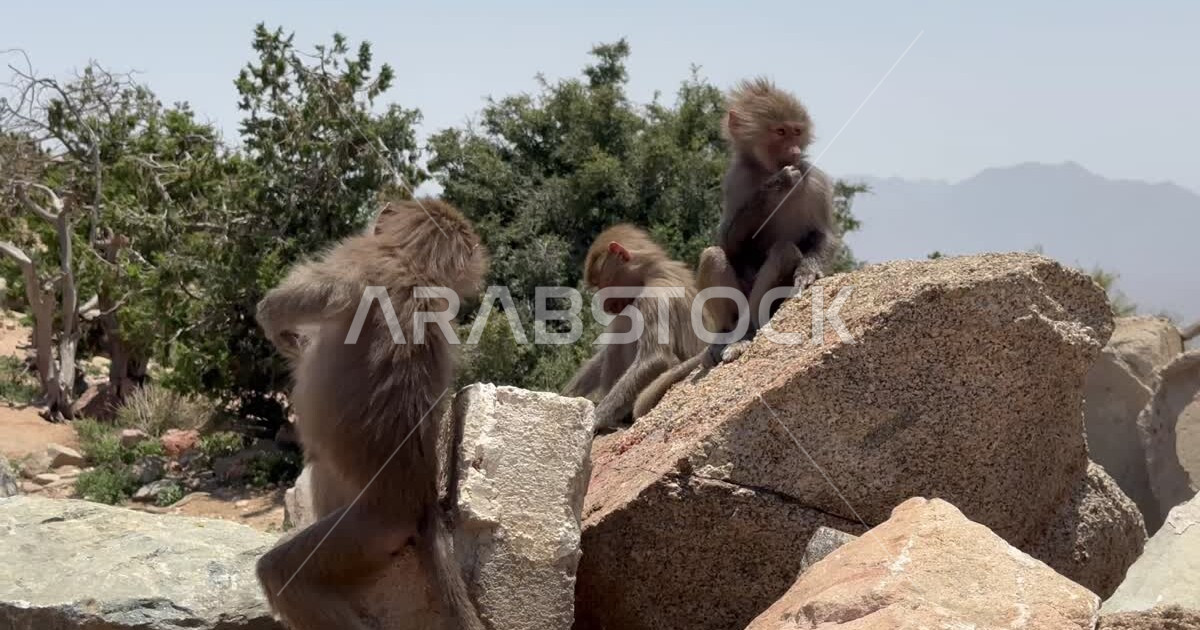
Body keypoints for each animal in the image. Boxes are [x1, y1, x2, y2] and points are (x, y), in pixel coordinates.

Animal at [254, 197, 489, 630]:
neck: (415, 271)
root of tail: (421, 504)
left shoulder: (358, 259)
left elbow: (285, 306)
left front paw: (277, 327)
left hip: (369, 532)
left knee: (282, 573)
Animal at [562, 224, 705, 431]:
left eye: (603, 284)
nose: (603, 304)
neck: (651, 271)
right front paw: (568, 396)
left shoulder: (652, 298)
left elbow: (655, 359)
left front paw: (595, 419)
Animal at [632, 78, 838, 419]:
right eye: (780, 132)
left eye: (796, 132)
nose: (795, 151)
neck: (763, 168)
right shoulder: (735, 179)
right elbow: (726, 243)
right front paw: (777, 184)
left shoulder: (814, 180)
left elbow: (823, 236)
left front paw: (809, 272)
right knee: (713, 256)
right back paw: (727, 337)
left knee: (784, 251)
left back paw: (749, 334)